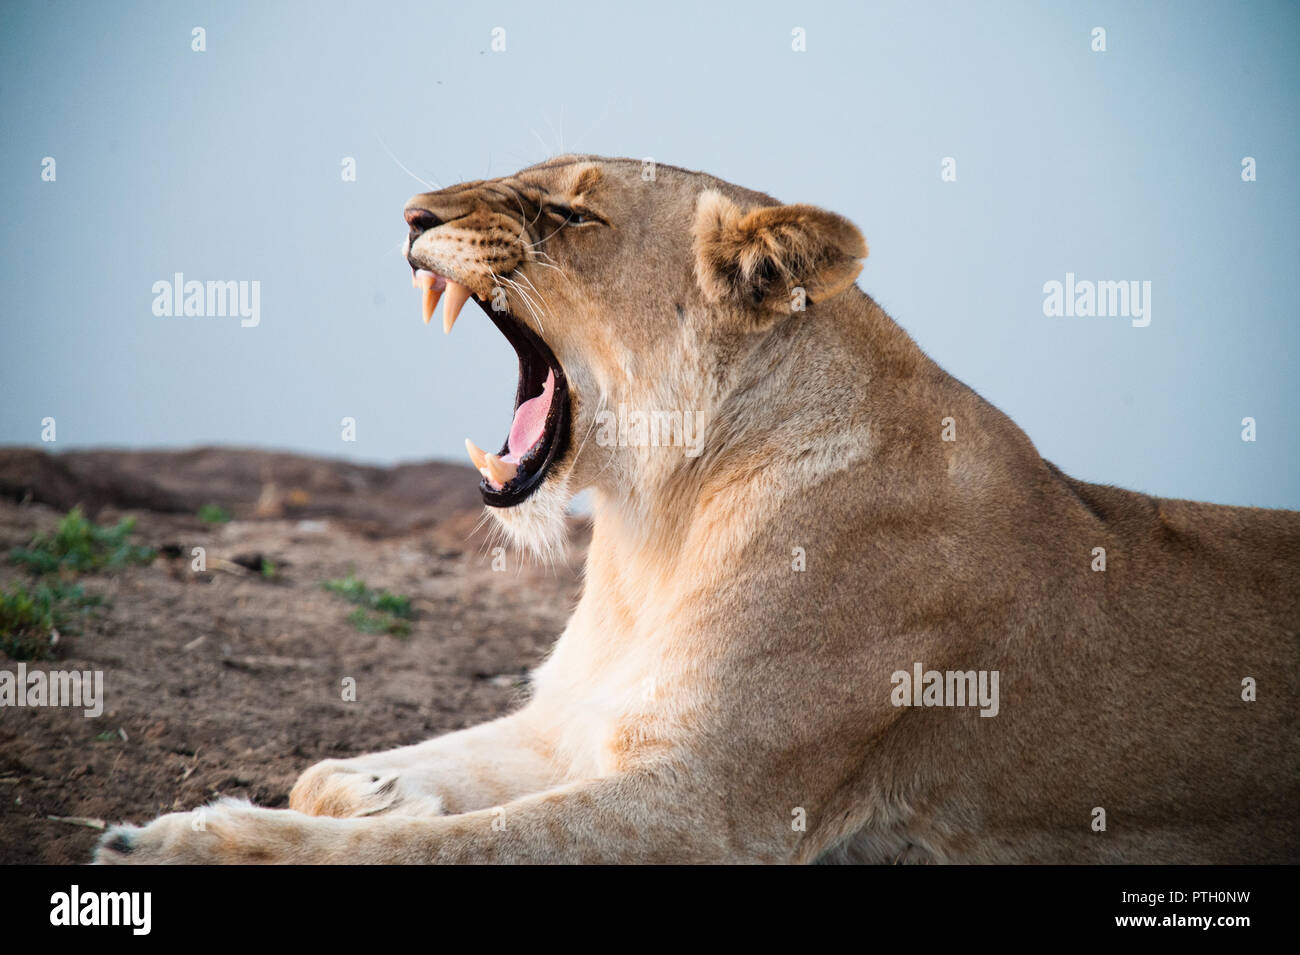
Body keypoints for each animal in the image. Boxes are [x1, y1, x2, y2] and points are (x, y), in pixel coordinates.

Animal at [96, 155, 1299, 864]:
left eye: (569, 212)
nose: (410, 213)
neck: (653, 522)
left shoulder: (705, 805)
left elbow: (443, 851)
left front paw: (185, 842)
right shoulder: (576, 719)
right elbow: (341, 776)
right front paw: (379, 784)